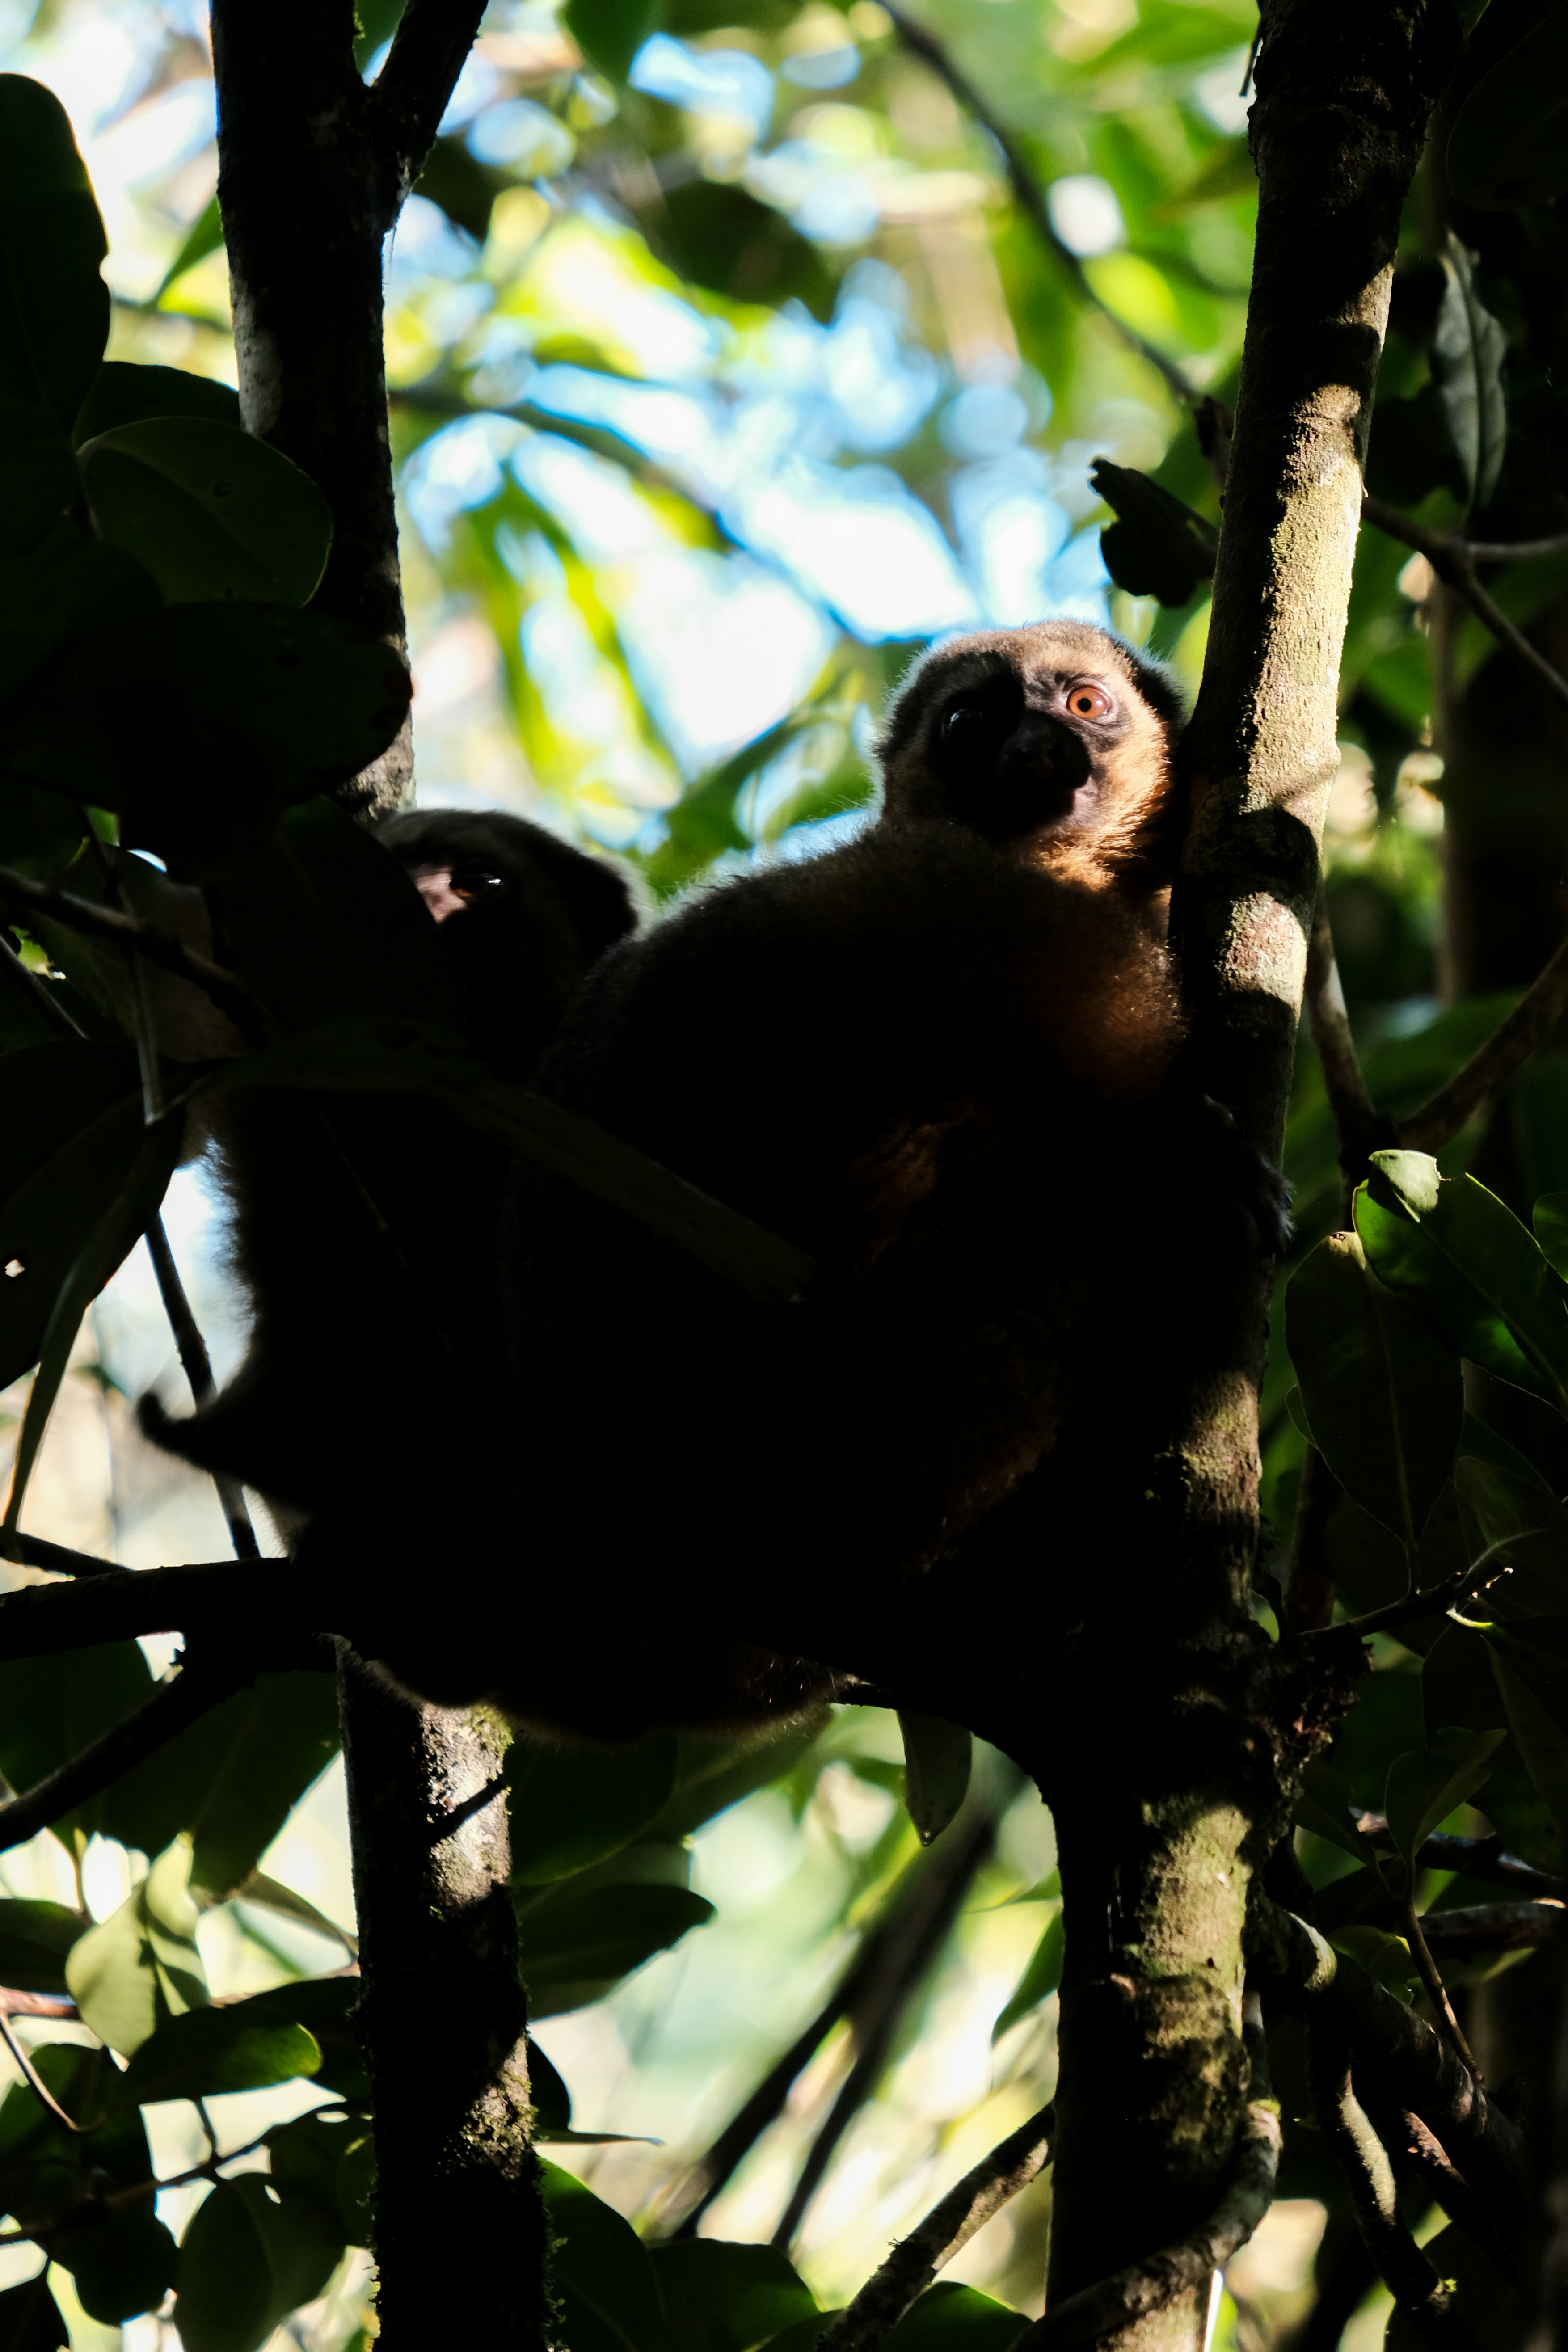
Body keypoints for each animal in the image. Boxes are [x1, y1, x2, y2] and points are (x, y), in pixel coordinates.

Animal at [360, 620, 1289, 1744]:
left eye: (1082, 705)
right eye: (969, 722)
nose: (1040, 752)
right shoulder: (964, 894)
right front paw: (1180, 1154)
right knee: (1032, 1210)